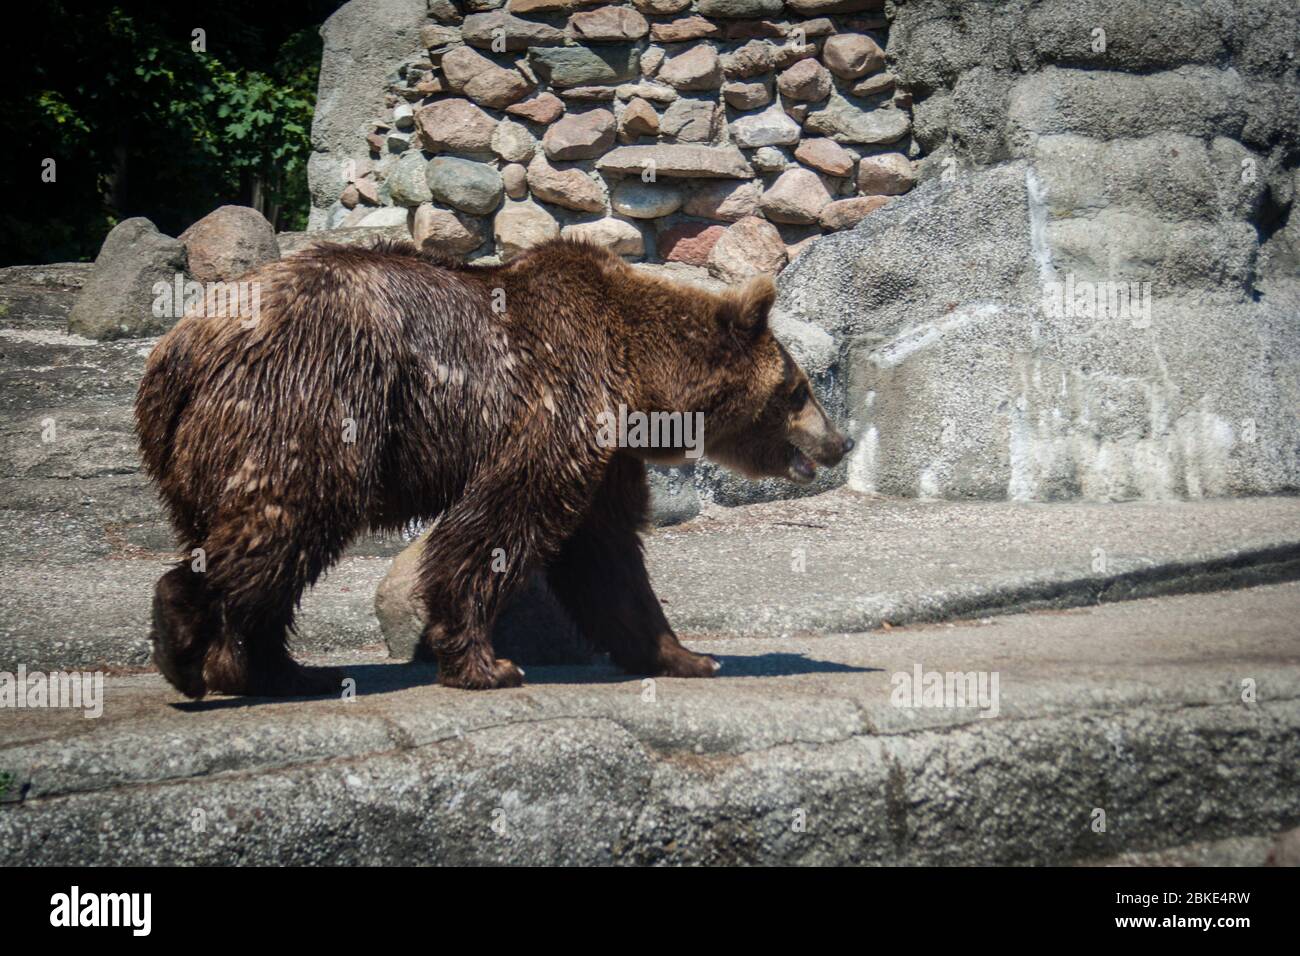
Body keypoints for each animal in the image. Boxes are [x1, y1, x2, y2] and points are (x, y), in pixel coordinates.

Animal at [135, 239, 852, 697]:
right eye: (797, 389)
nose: (840, 442)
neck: (637, 384)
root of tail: (180, 350)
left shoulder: (607, 456)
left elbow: (609, 558)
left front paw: (685, 655)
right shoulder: (556, 402)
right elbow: (498, 526)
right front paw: (488, 664)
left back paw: (280, 669)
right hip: (313, 394)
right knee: (289, 514)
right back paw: (184, 639)